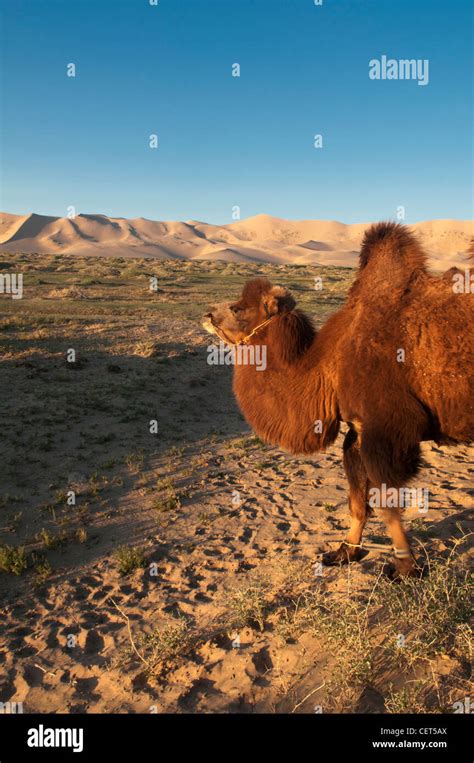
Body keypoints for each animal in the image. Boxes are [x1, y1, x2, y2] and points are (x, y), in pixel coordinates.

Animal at [202, 223, 474, 577]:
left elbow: (386, 502)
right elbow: (358, 500)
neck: (328, 366)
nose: (207, 313)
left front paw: (404, 566)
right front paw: (345, 551)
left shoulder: (386, 429)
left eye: (237, 308)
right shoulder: (357, 429)